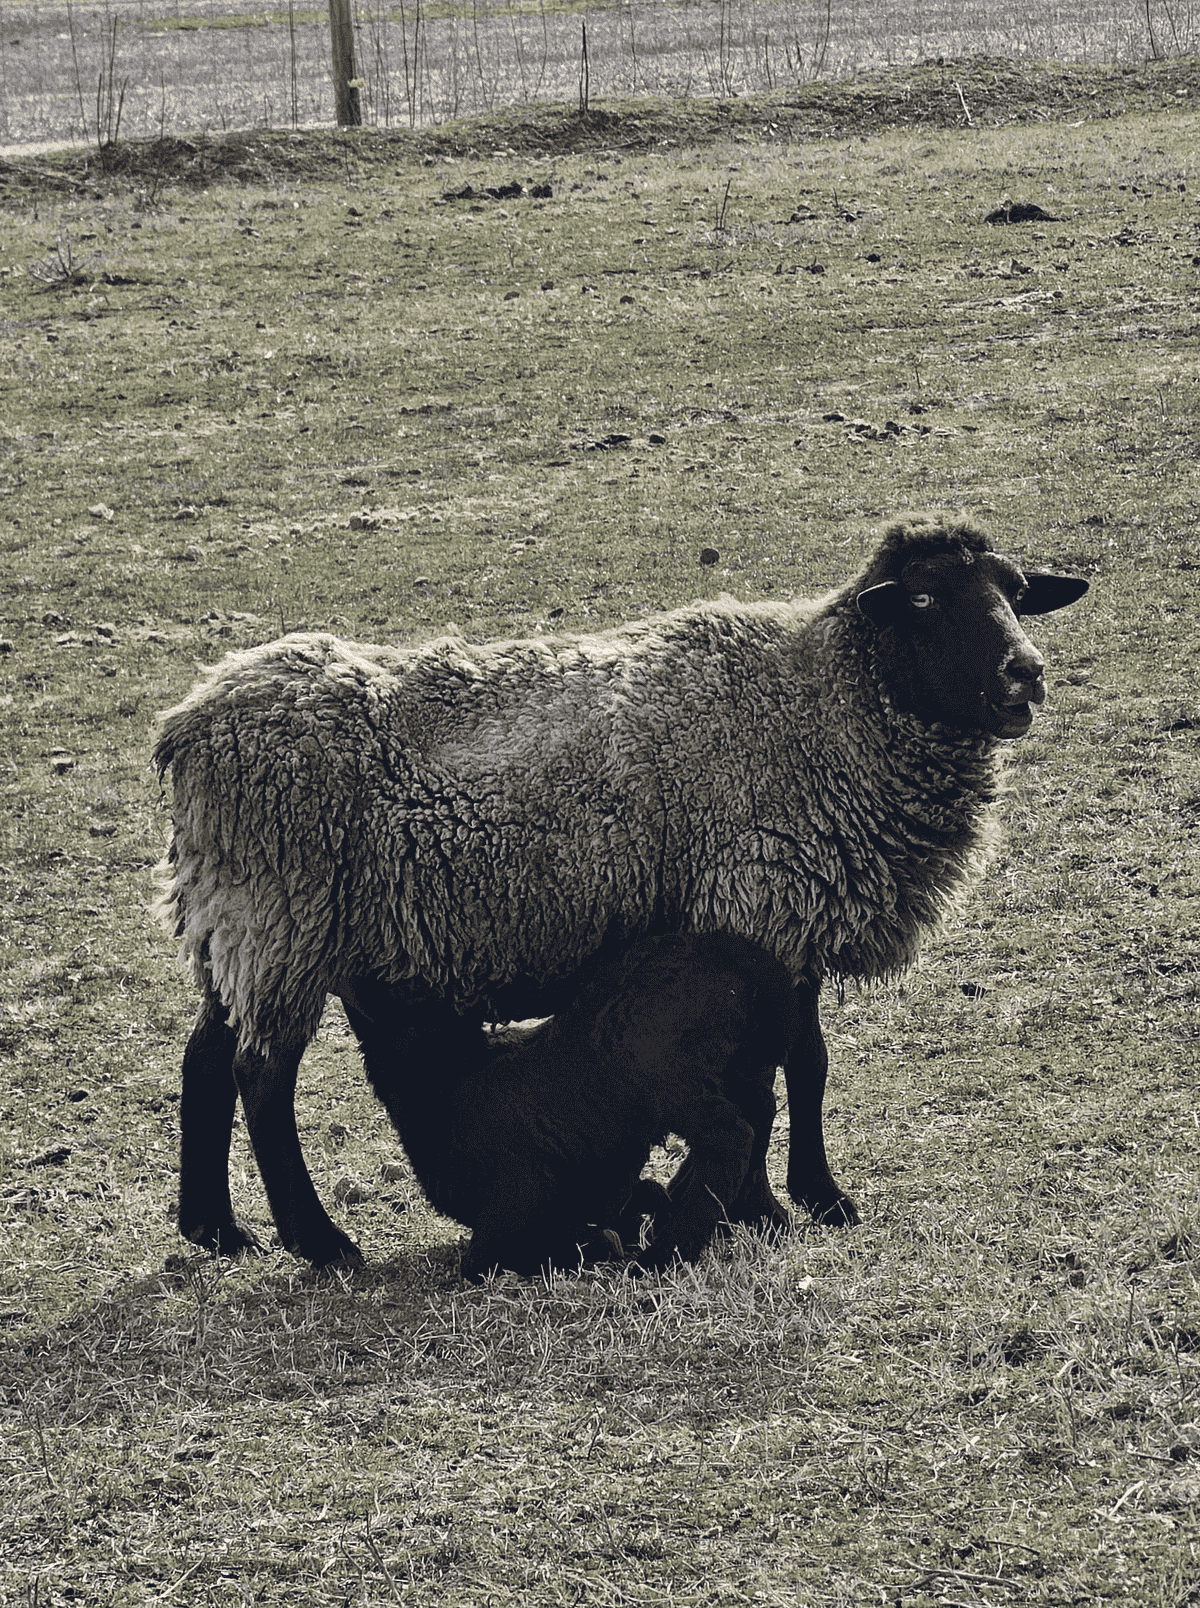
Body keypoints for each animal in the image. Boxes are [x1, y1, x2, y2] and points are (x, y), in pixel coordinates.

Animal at [351, 931, 798, 1278]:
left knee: (731, 1135)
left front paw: (591, 1246)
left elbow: (481, 1260)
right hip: (724, 1065)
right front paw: (632, 1221)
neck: (451, 1077)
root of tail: (733, 952)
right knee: (761, 1108)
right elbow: (634, 1197)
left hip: (664, 1074)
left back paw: (662, 1257)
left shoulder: (520, 1186)